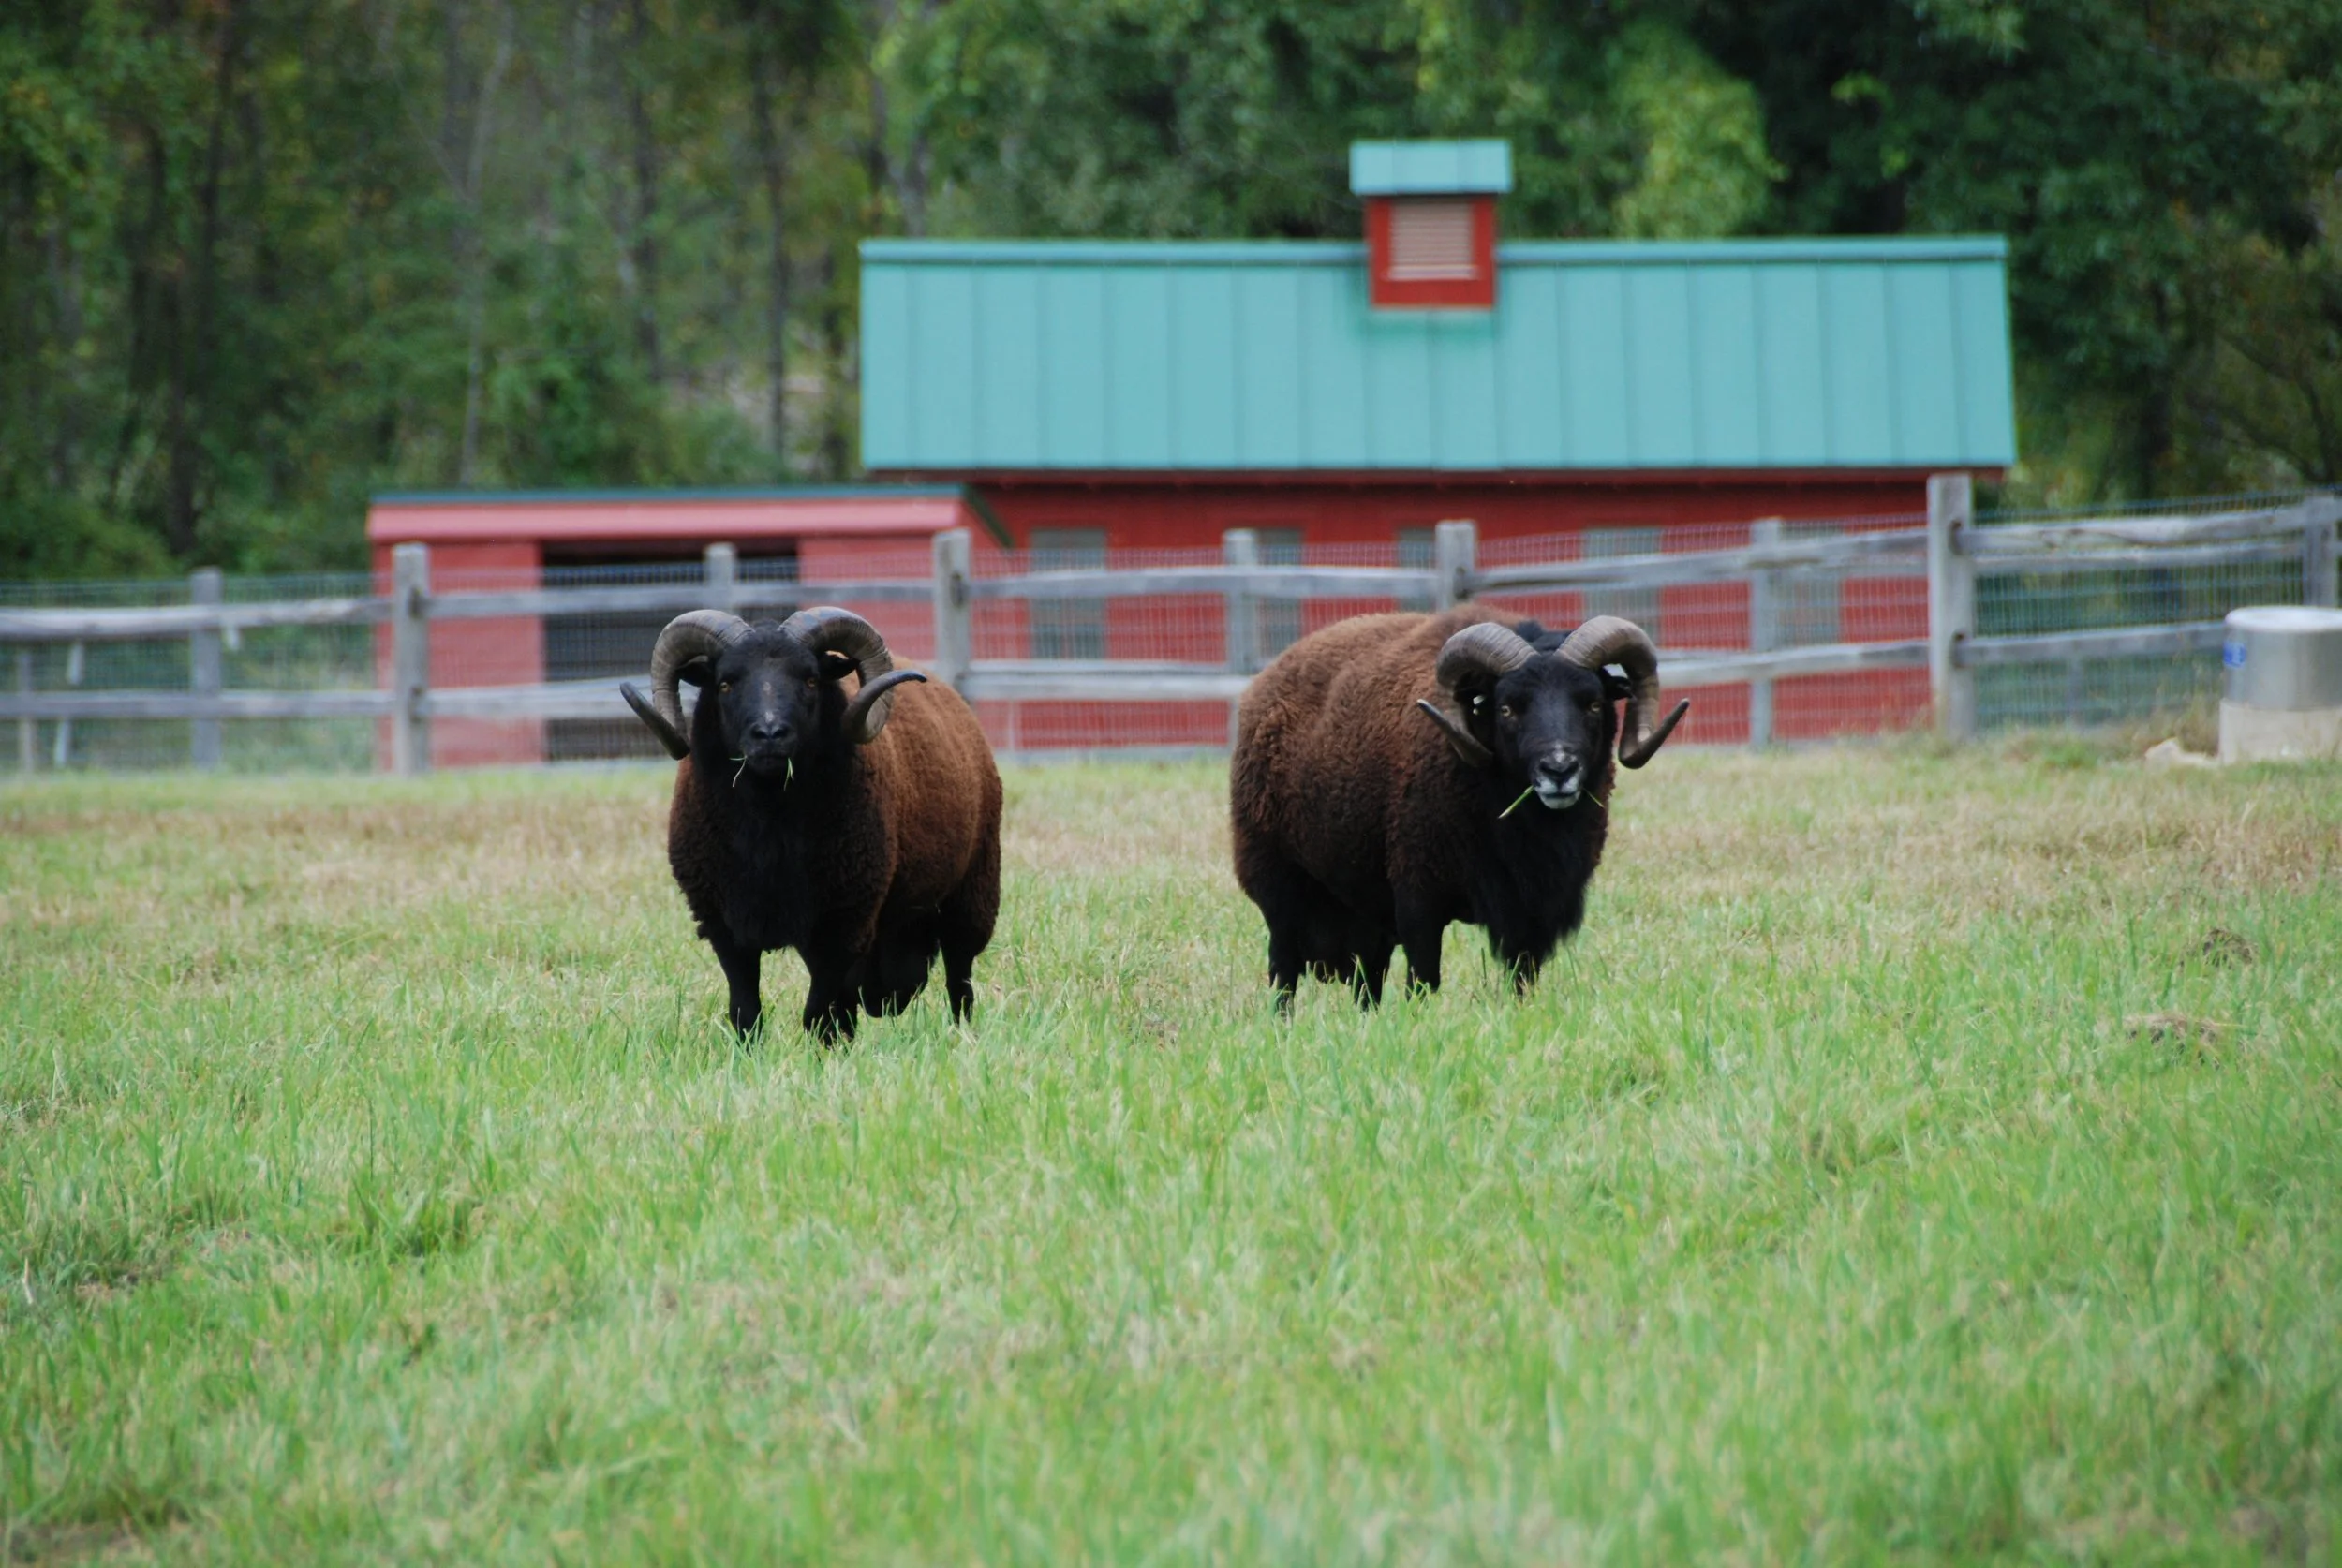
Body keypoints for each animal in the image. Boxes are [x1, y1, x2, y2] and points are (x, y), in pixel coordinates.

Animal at [620, 607, 1001, 1040]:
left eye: (810, 679)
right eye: (725, 683)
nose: (770, 735)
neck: (769, 824)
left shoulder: (841, 924)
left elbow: (820, 1013)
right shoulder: (725, 926)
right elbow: (746, 1011)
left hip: (971, 895)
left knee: (960, 981)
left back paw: (962, 1035)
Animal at [1229, 608, 1687, 1008]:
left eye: (1593, 703)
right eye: (1507, 708)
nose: (1559, 770)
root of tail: (1264, 682)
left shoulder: (1532, 913)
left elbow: (1523, 980)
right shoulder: (1417, 898)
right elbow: (1423, 982)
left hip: (1366, 914)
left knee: (1366, 985)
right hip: (1278, 887)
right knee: (1284, 974)